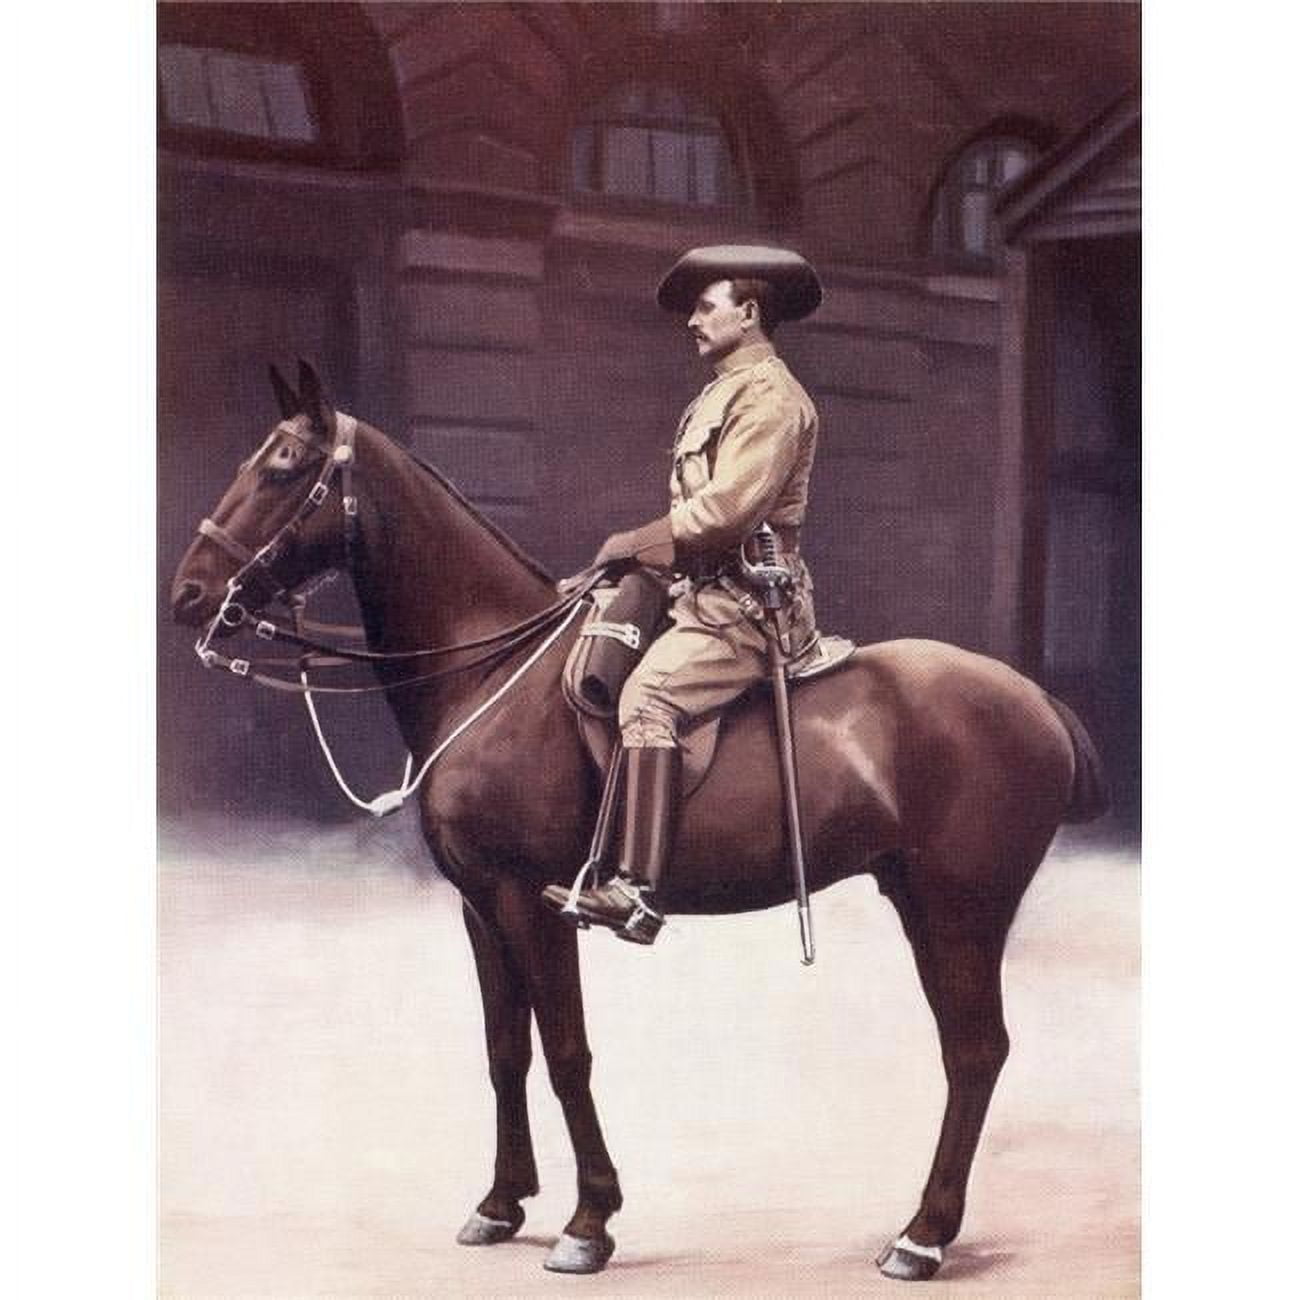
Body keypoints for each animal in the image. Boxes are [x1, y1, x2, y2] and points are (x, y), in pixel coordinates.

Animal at [169, 362, 1107, 1282]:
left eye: (282, 467)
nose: (188, 594)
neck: (490, 668)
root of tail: (1036, 700)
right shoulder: (480, 908)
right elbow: (505, 1052)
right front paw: (501, 1203)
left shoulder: (530, 904)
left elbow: (566, 1053)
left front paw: (589, 1221)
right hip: (923, 903)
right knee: (968, 1051)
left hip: (962, 913)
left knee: (976, 1052)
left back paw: (922, 1236)